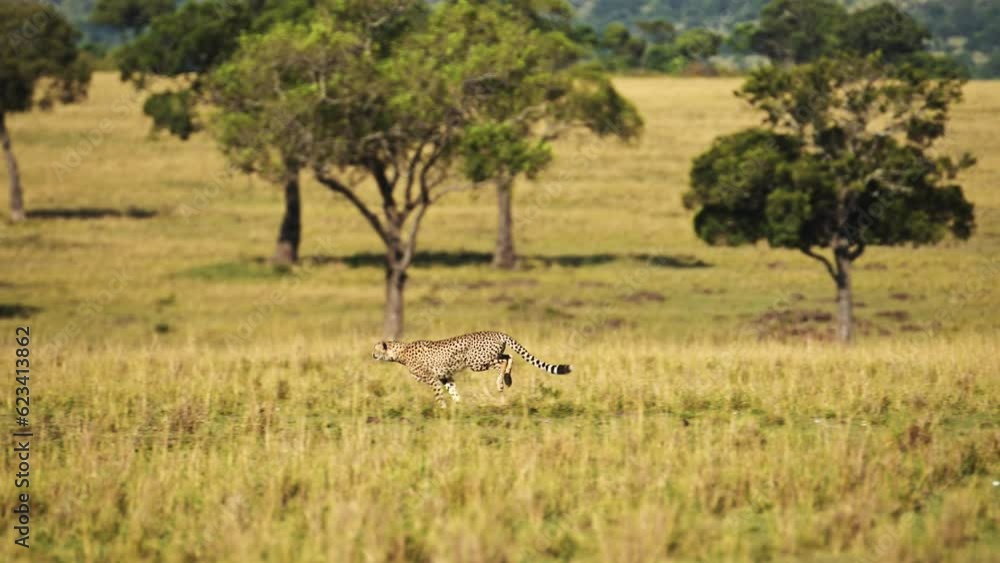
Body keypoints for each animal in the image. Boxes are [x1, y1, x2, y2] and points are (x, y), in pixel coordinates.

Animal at [372, 331, 572, 407]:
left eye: (376, 349)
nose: (372, 355)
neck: (400, 352)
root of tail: (498, 333)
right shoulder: (445, 377)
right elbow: (453, 391)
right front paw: (459, 406)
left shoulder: (432, 379)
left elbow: (439, 396)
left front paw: (442, 409)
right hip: (489, 357)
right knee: (509, 357)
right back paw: (508, 379)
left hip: (476, 362)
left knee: (502, 362)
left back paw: (500, 383)